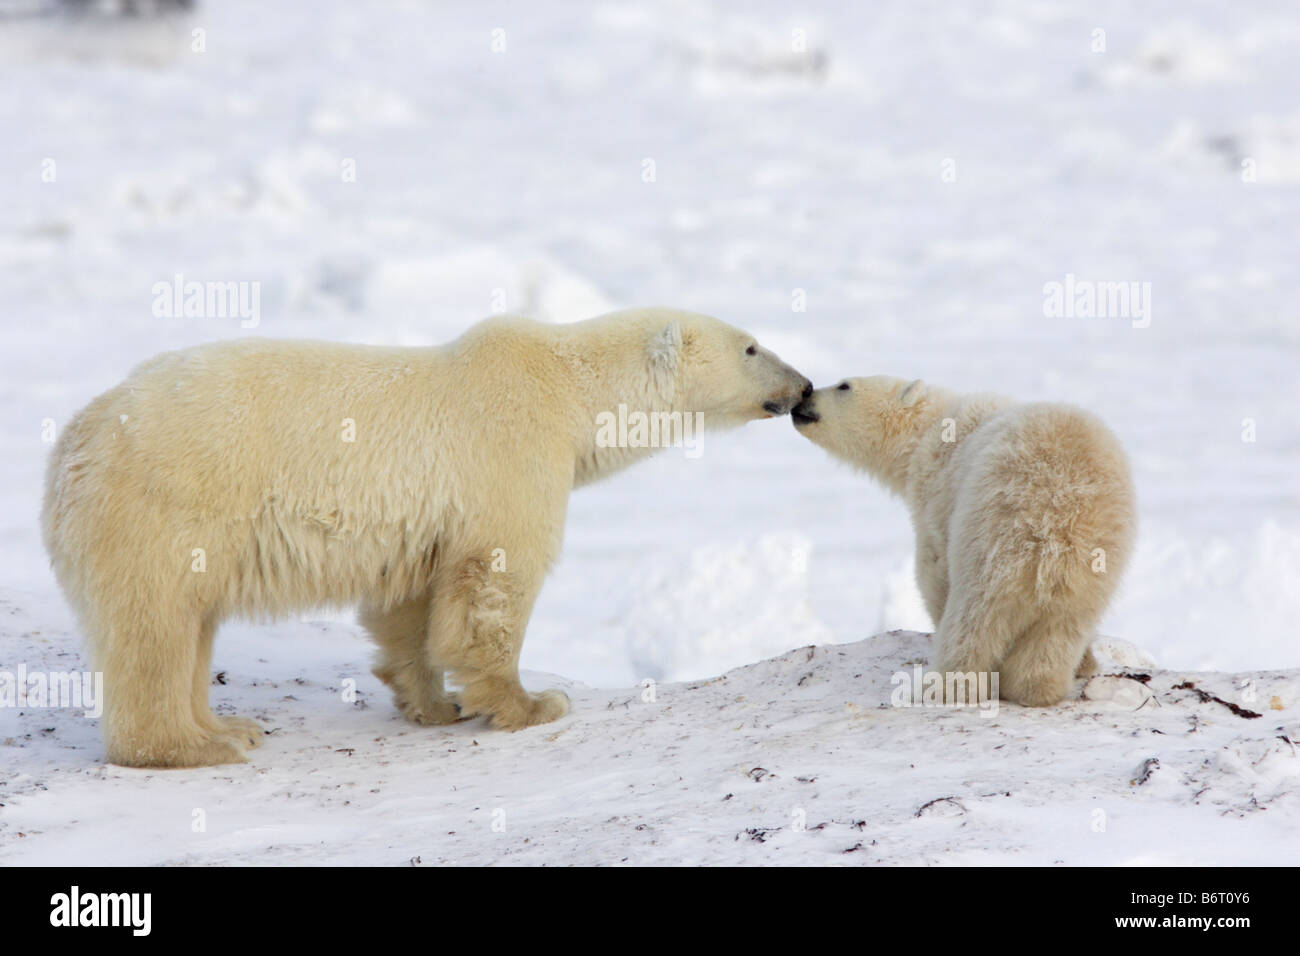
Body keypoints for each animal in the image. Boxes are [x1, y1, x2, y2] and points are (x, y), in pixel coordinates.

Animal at [42, 308, 812, 767]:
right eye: (751, 345)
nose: (803, 386)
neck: (565, 387)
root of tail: (71, 446)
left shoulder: (421, 522)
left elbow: (410, 601)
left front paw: (433, 705)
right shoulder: (511, 449)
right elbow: (495, 579)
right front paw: (530, 705)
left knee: (187, 630)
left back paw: (226, 726)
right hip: (165, 511)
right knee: (157, 629)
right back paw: (196, 745)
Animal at [791, 376, 1135, 707]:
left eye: (844, 385)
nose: (803, 398)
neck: (927, 426)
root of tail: (1060, 518)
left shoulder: (936, 494)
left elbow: (933, 570)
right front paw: (1087, 663)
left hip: (993, 534)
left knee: (974, 614)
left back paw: (946, 685)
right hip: (1094, 563)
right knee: (1063, 626)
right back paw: (1038, 687)